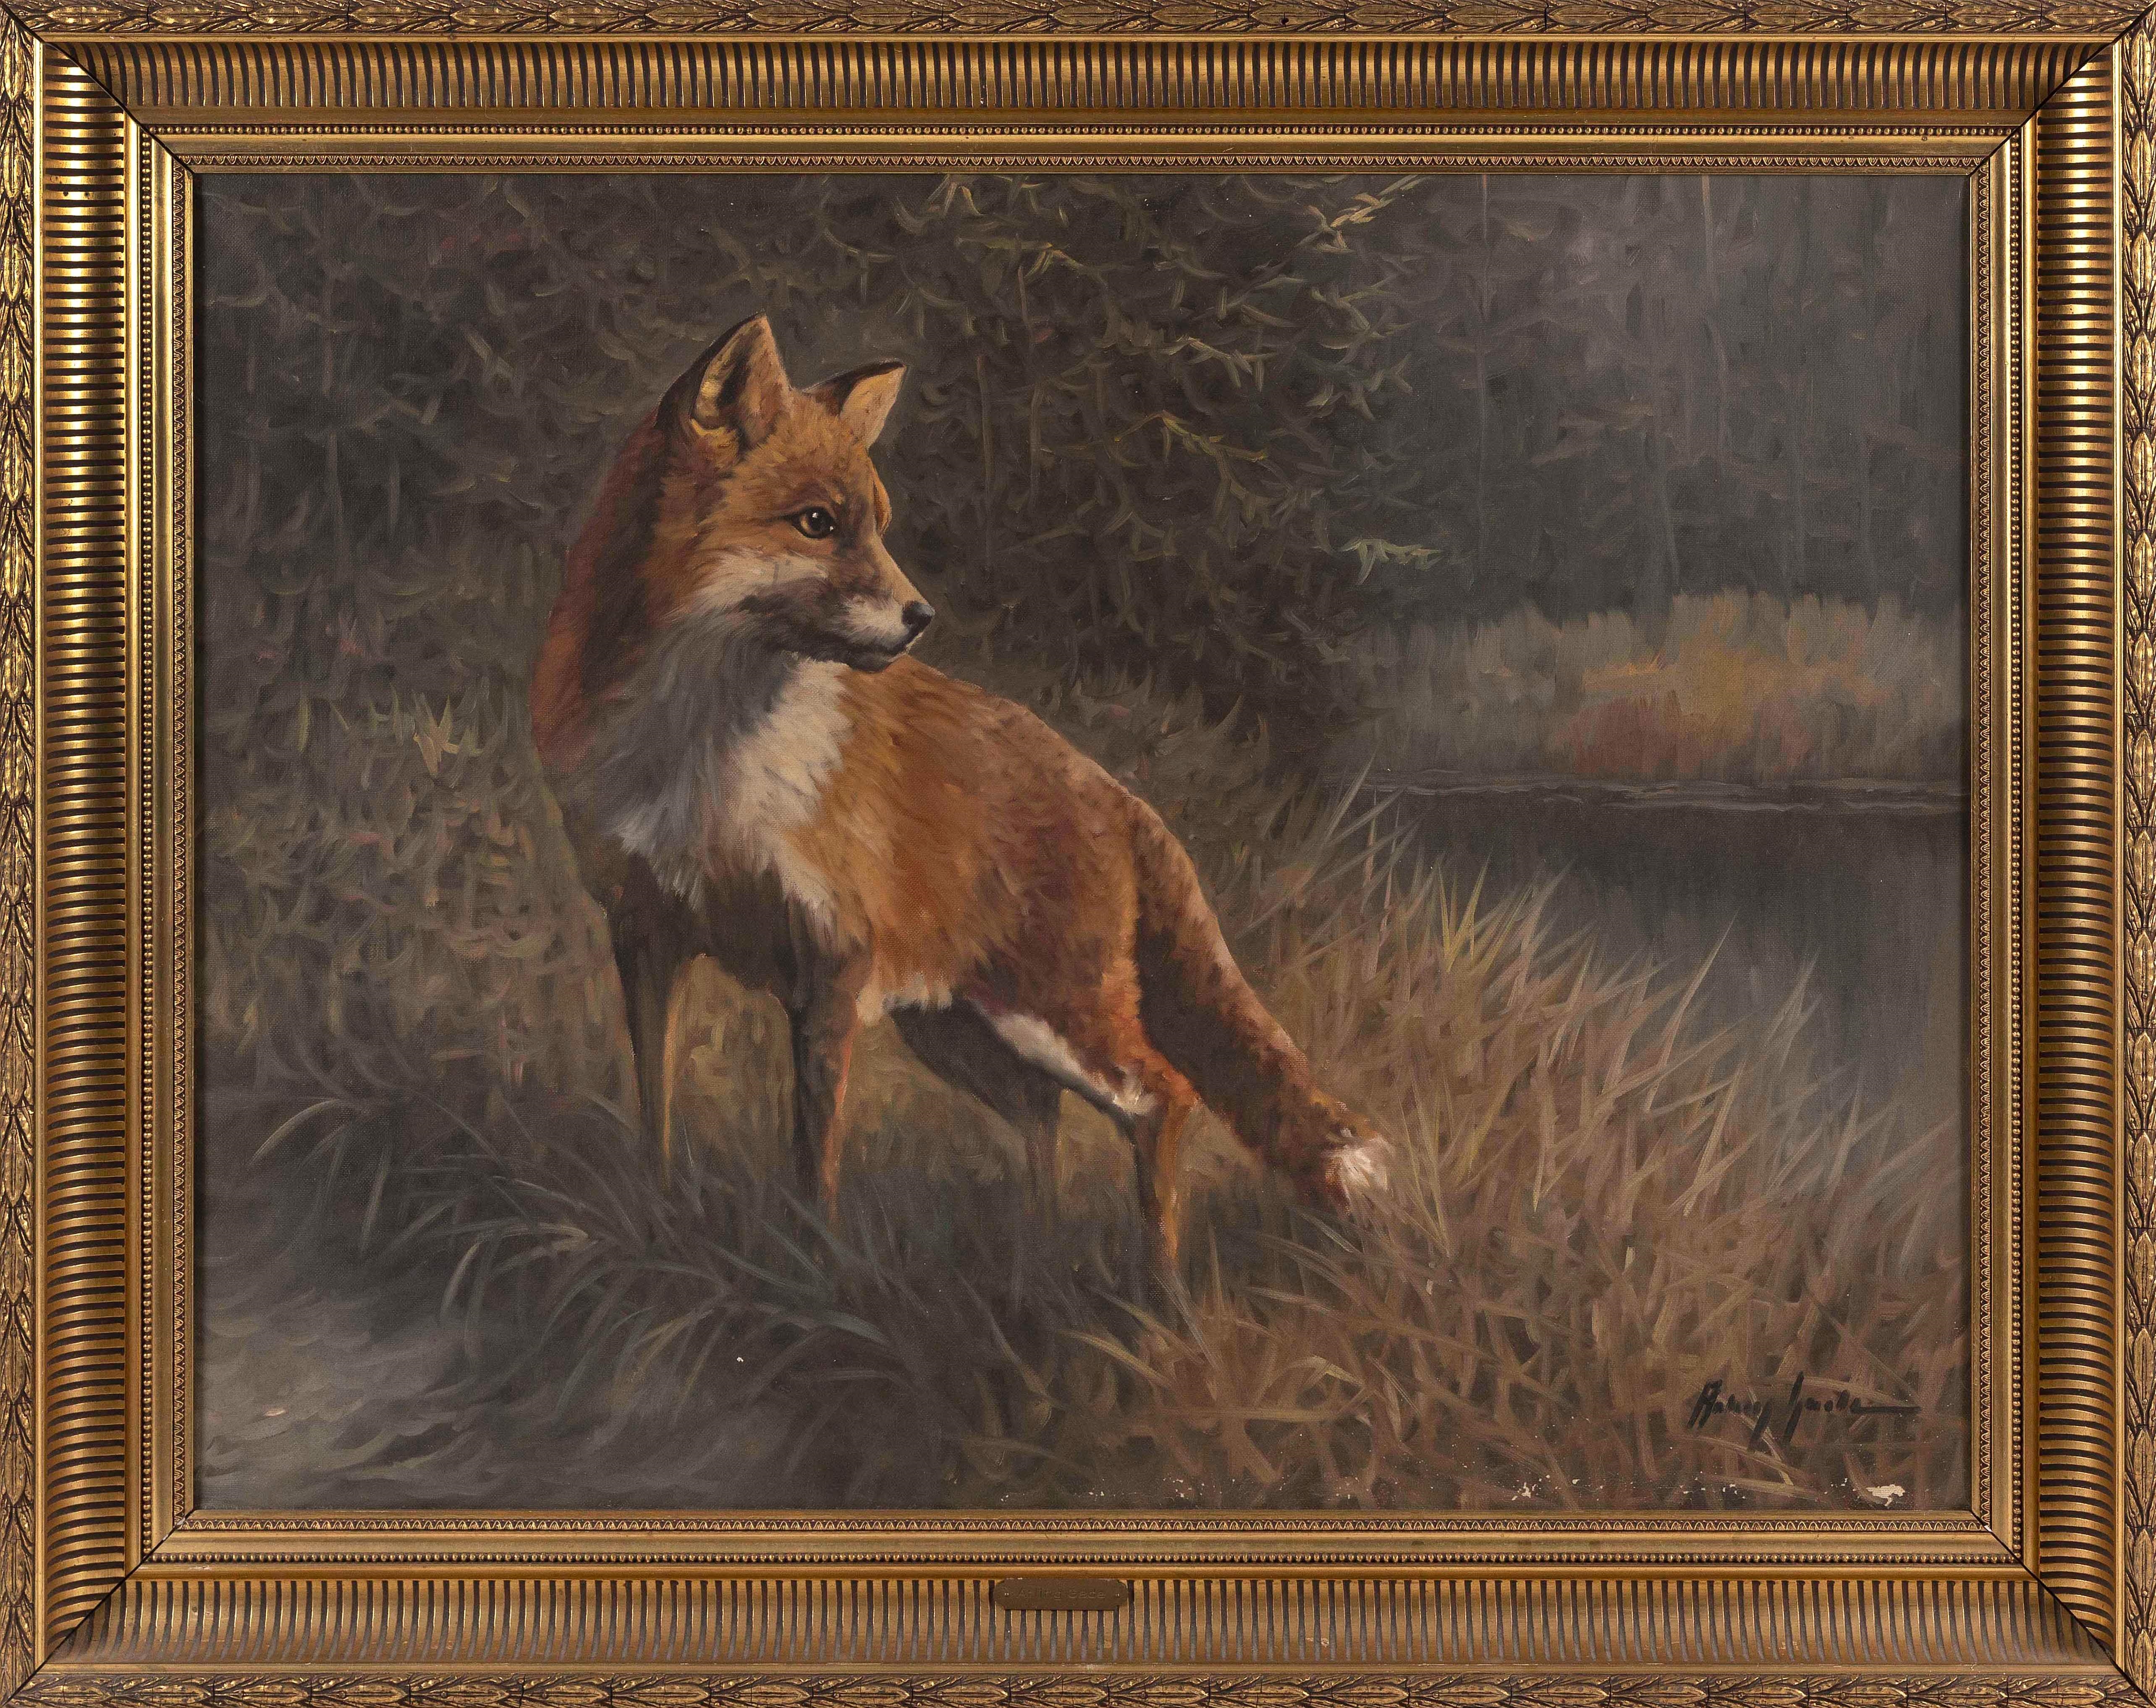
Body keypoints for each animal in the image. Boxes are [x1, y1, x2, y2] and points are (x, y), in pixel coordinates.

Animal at [531, 315, 1390, 1266]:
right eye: (818, 524)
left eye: (879, 529)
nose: (921, 619)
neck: (702, 753)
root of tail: (1123, 797)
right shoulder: (645, 931)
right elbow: (655, 1105)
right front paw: (655, 1217)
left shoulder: (832, 968)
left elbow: (813, 1151)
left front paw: (813, 1259)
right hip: (963, 1033)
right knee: (1043, 1124)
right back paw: (1037, 1260)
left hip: (1055, 1017)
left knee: (1163, 1098)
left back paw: (1158, 1281)